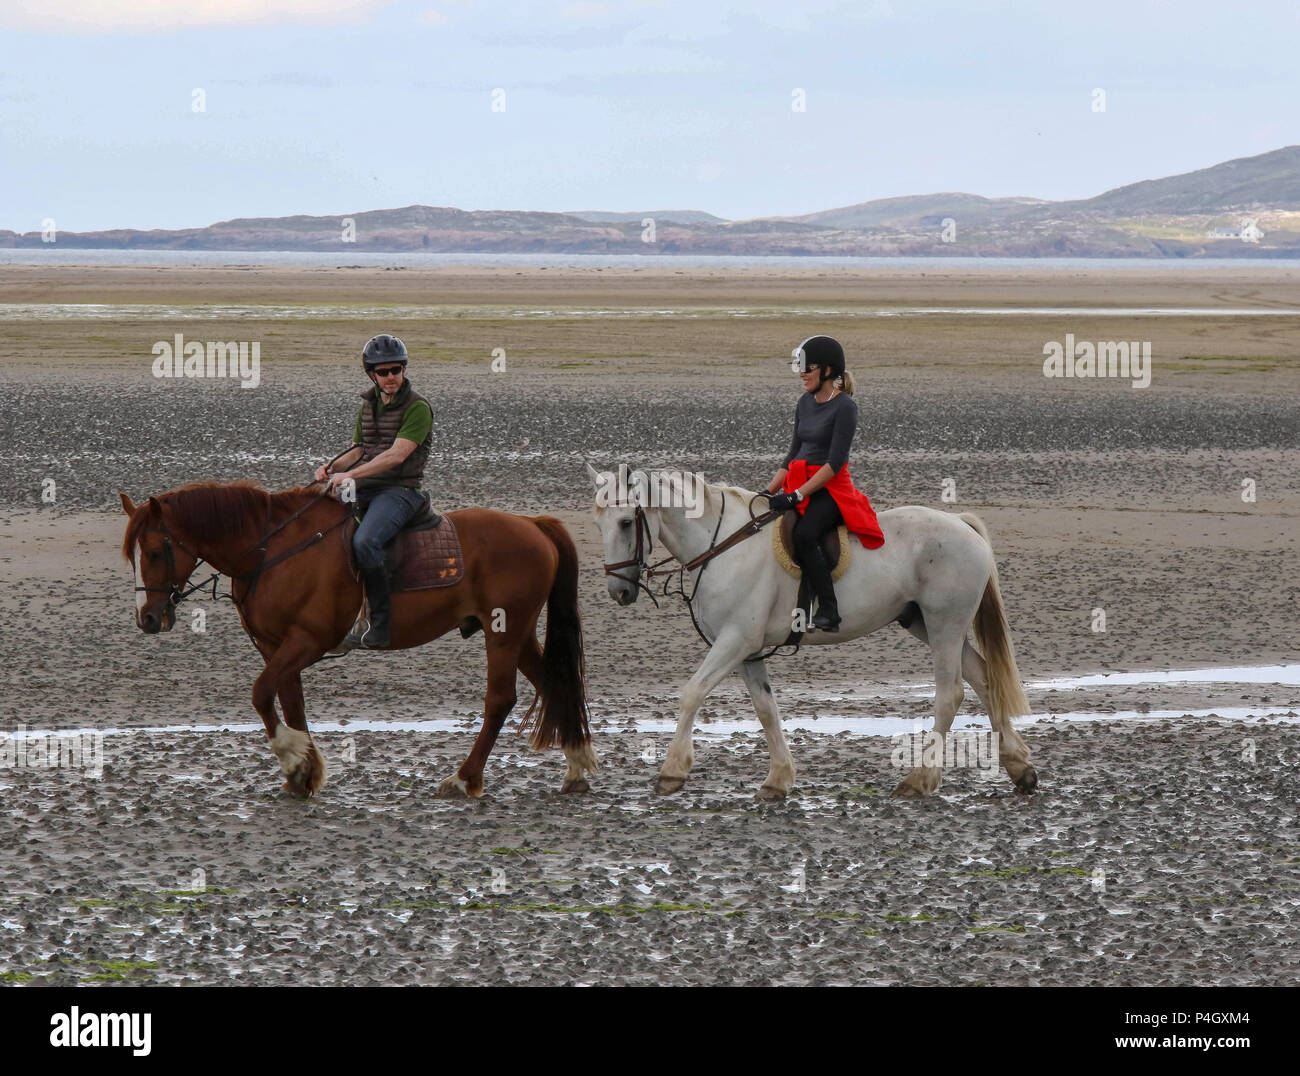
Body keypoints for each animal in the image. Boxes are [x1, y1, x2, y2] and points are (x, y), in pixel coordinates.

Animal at [120, 481, 598, 798]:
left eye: (156, 552)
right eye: (134, 556)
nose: (148, 618)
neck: (271, 551)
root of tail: (531, 523)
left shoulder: (306, 641)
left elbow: (261, 693)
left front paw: (292, 757)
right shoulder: (277, 646)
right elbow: (290, 702)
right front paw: (303, 772)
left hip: (504, 632)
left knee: (501, 699)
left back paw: (465, 777)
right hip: (517, 633)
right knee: (553, 681)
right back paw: (575, 763)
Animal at [587, 465, 1037, 799]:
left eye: (626, 522)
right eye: (598, 522)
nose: (618, 591)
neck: (723, 546)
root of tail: (959, 522)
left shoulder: (734, 642)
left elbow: (692, 693)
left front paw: (672, 771)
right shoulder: (747, 651)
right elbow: (766, 709)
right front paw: (778, 779)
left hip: (945, 625)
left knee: (951, 693)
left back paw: (920, 779)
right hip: (926, 624)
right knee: (983, 679)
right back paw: (1019, 767)